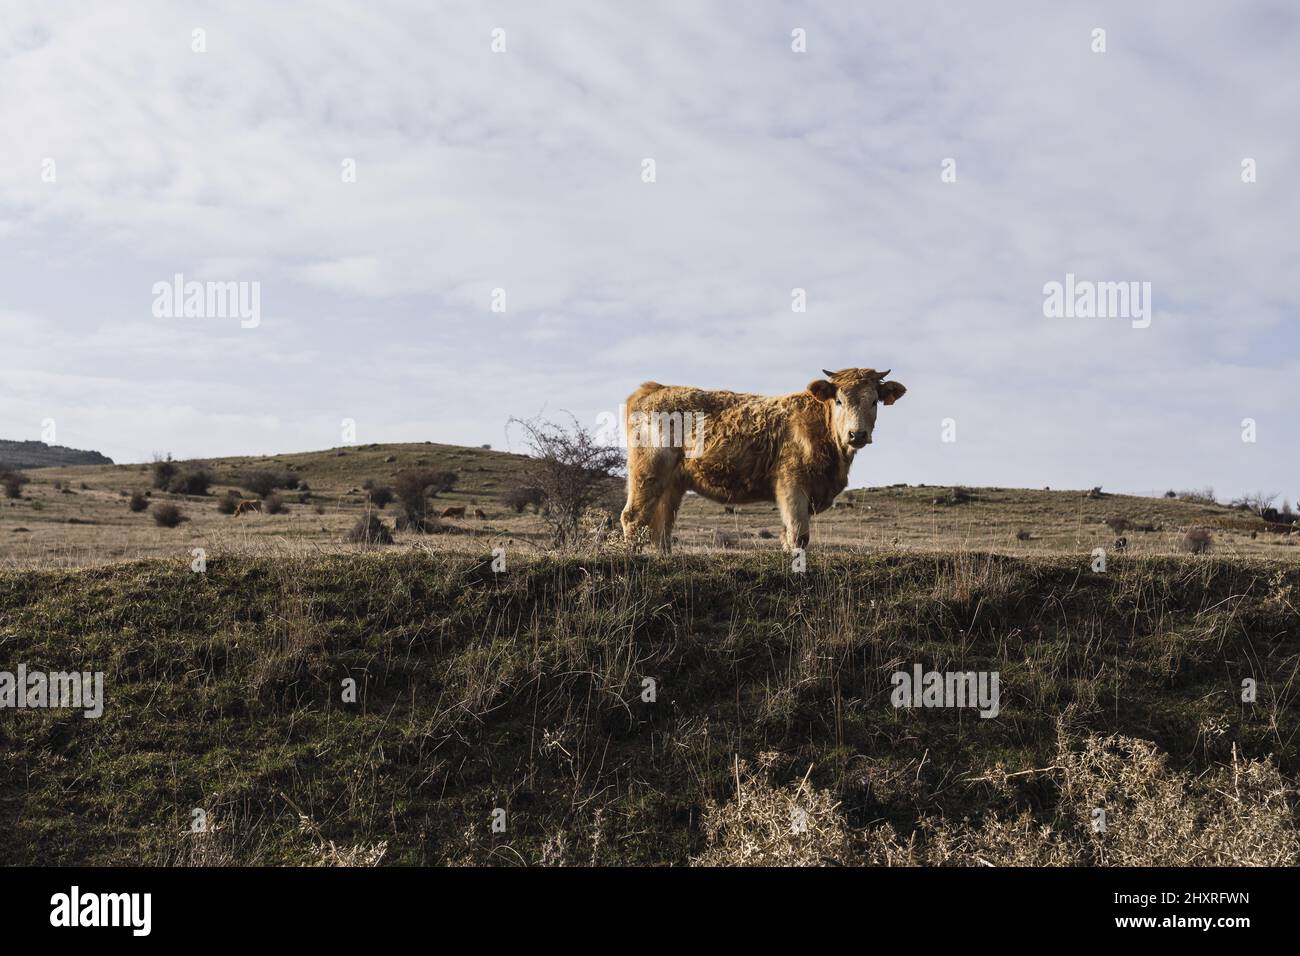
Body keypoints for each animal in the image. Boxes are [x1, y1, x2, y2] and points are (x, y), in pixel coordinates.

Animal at [620, 367, 906, 552]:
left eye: (874, 401)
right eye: (838, 400)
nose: (857, 434)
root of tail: (653, 389)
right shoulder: (792, 486)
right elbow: (798, 536)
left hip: (672, 484)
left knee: (661, 529)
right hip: (647, 473)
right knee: (633, 518)